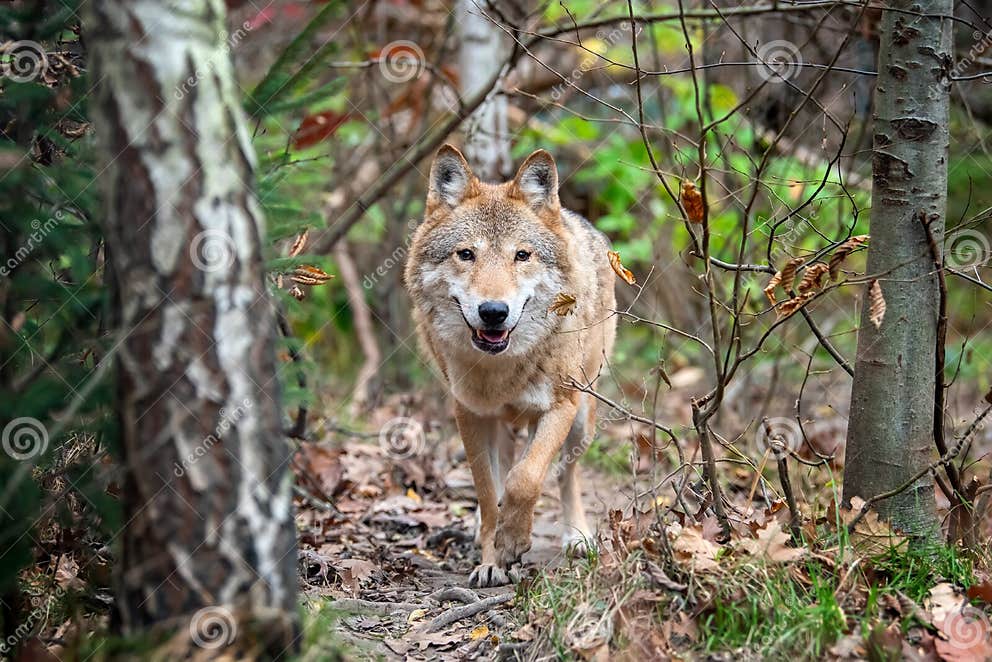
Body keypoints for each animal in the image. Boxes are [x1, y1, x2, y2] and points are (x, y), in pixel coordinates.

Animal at [404, 145, 617, 587]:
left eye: (522, 255)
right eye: (466, 254)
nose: (493, 311)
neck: (503, 367)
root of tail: (581, 222)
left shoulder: (560, 407)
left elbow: (526, 479)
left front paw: (514, 542)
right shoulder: (469, 414)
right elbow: (490, 493)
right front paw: (491, 560)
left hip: (583, 416)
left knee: (565, 474)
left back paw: (577, 536)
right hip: (502, 424)